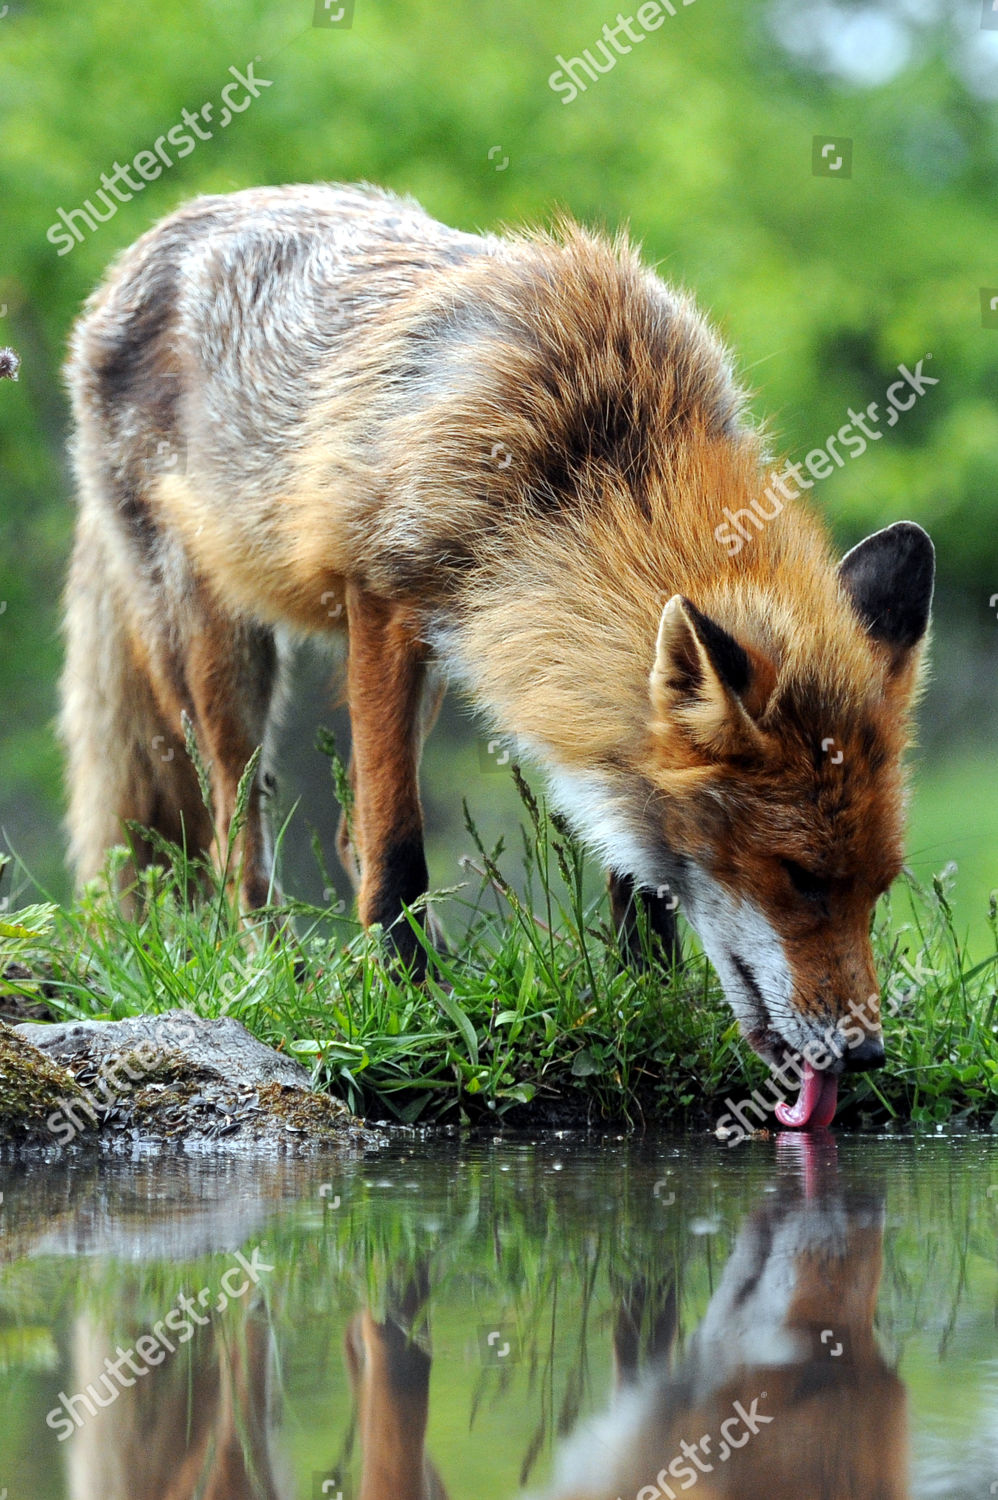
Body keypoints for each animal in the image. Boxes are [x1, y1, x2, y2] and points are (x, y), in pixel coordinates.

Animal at [60, 183, 935, 1129]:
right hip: (219, 651)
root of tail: (156, 237)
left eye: (878, 888)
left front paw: (646, 989)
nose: (867, 1055)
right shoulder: (384, 596)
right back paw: (282, 965)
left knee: (333, 832)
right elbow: (397, 845)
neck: (593, 454)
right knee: (240, 840)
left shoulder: (524, 652)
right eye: (801, 879)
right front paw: (413, 996)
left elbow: (630, 863)